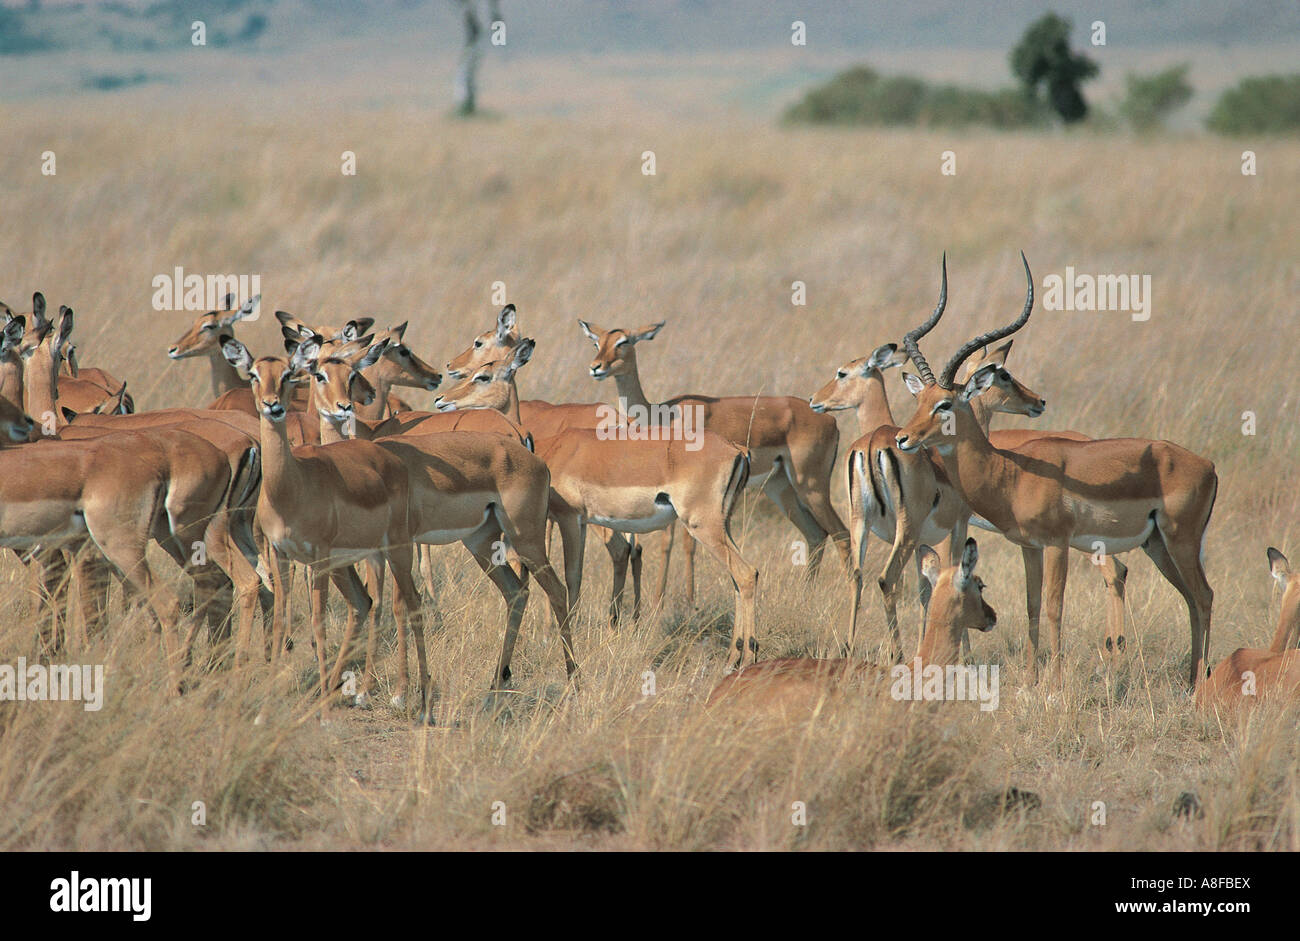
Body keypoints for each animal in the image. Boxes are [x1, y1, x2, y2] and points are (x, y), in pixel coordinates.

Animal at [435, 340, 760, 669]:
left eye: (484, 375)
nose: (441, 399)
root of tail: (737, 449)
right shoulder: (580, 522)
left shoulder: (568, 518)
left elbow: (571, 578)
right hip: (722, 525)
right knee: (736, 578)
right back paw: (734, 656)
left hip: (702, 525)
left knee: (746, 573)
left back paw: (746, 657)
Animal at [894, 254, 1217, 688]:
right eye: (920, 399)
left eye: (944, 404)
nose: (903, 438)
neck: (1011, 472)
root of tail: (1207, 465)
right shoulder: (1029, 546)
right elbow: (1031, 605)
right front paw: (1032, 678)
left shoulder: (1058, 543)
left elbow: (1053, 606)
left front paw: (1056, 681)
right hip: (1158, 545)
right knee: (1191, 599)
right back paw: (1192, 678)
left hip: (1180, 541)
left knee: (1203, 596)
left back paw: (1199, 683)